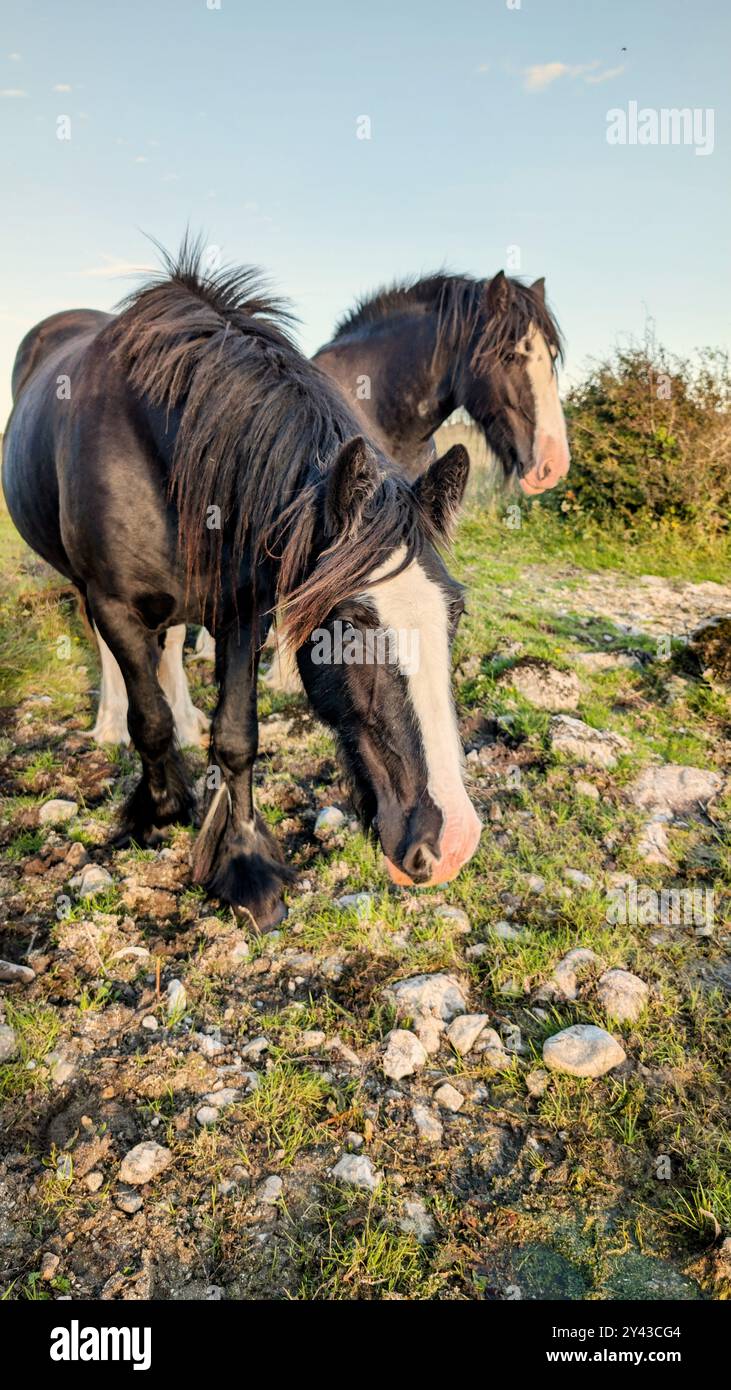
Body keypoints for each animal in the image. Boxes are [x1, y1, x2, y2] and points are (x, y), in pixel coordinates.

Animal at [2, 243, 481, 928]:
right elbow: (150, 722)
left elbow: (236, 737)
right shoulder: (116, 605)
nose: (451, 844)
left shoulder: (242, 611)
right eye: (353, 621)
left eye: (455, 614)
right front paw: (160, 812)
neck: (164, 448)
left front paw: (245, 863)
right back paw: (110, 722)